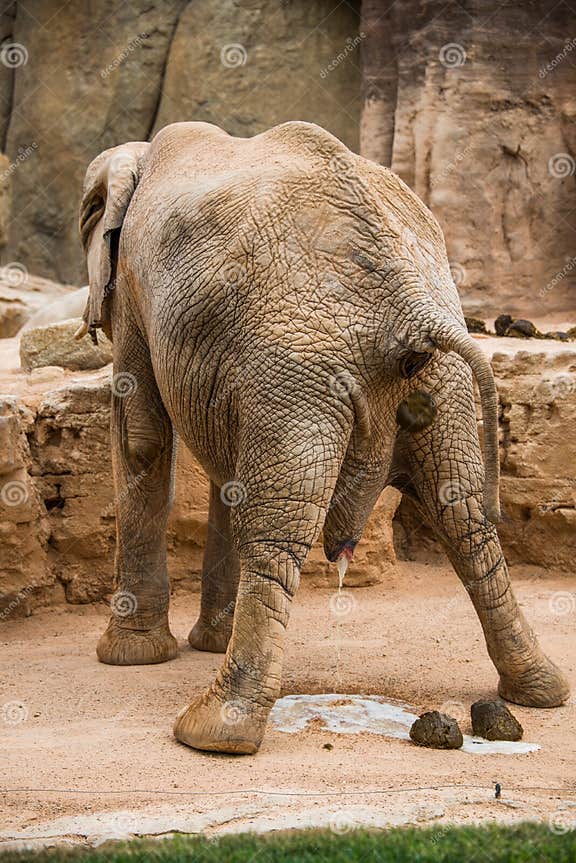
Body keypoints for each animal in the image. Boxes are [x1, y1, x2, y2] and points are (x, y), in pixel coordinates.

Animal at [78, 120, 569, 755]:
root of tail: (409, 307)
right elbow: (221, 465)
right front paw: (200, 643)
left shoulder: (137, 289)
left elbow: (141, 434)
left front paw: (132, 659)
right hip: (432, 378)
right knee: (463, 515)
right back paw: (540, 691)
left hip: (299, 372)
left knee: (281, 522)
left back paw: (212, 733)